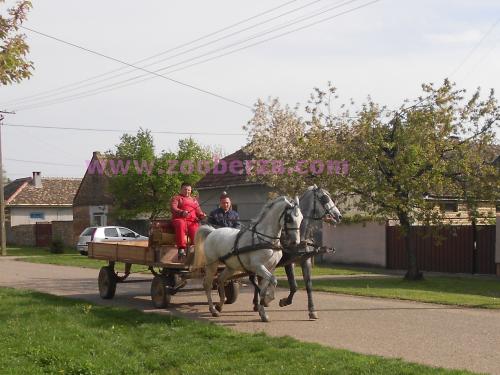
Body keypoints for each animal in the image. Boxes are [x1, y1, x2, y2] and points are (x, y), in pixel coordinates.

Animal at [252, 186, 342, 320]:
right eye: (324, 198)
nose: (339, 216)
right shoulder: (289, 263)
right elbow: (294, 285)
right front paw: (284, 301)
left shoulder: (305, 260)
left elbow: (308, 285)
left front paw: (312, 310)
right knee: (257, 280)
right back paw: (258, 303)